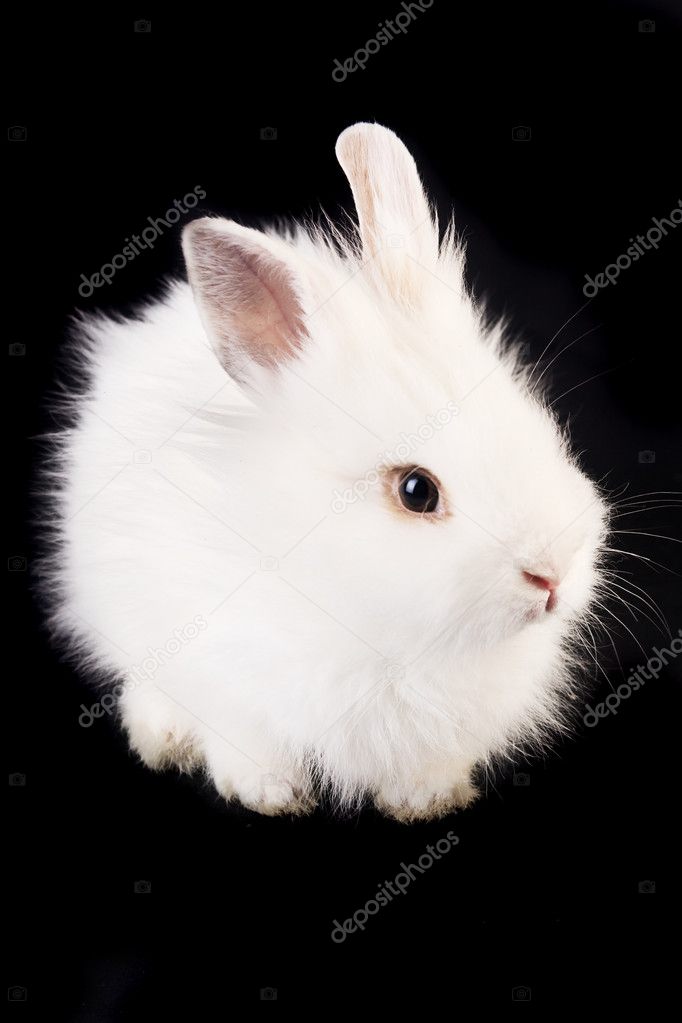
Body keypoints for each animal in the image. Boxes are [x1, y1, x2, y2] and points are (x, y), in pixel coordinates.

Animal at [43, 122, 608, 821]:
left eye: (538, 426)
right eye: (416, 492)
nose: (552, 576)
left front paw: (427, 799)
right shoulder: (224, 675)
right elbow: (244, 737)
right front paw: (268, 794)